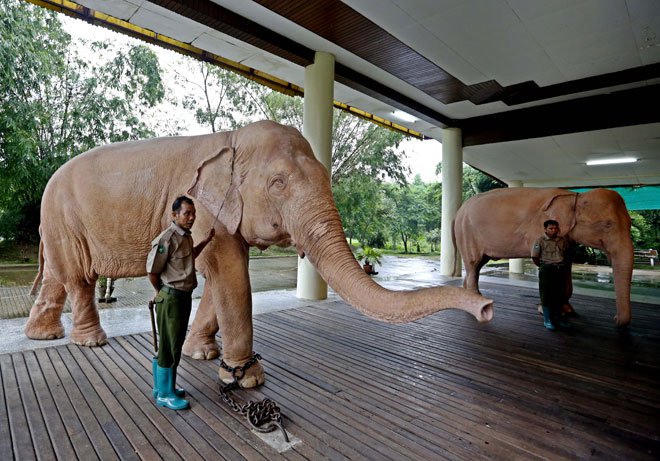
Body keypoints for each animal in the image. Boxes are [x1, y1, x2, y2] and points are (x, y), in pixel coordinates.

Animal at [26, 120, 493, 387]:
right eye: (278, 183)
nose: (487, 308)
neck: (229, 140)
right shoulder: (205, 208)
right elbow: (229, 274)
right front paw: (247, 379)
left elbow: (218, 278)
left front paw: (203, 355)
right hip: (65, 220)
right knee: (77, 277)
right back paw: (90, 342)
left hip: (58, 225)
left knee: (56, 278)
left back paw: (41, 336)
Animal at [453, 187, 633, 326]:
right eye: (607, 225)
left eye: (631, 223)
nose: (615, 319)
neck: (574, 196)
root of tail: (458, 212)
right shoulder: (538, 231)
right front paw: (545, 310)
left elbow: (565, 264)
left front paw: (567, 311)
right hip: (466, 233)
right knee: (473, 263)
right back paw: (476, 300)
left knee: (475, 266)